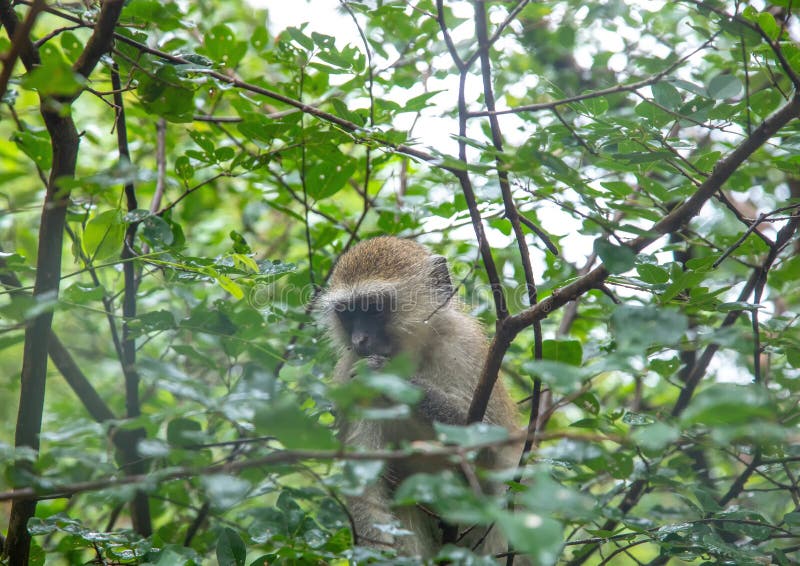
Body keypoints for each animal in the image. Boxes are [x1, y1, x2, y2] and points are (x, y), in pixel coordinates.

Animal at [316, 236, 524, 561]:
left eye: (374, 308)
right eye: (347, 312)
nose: (359, 340)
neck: (411, 356)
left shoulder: (463, 347)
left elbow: (489, 445)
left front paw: (388, 378)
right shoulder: (347, 377)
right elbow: (366, 486)